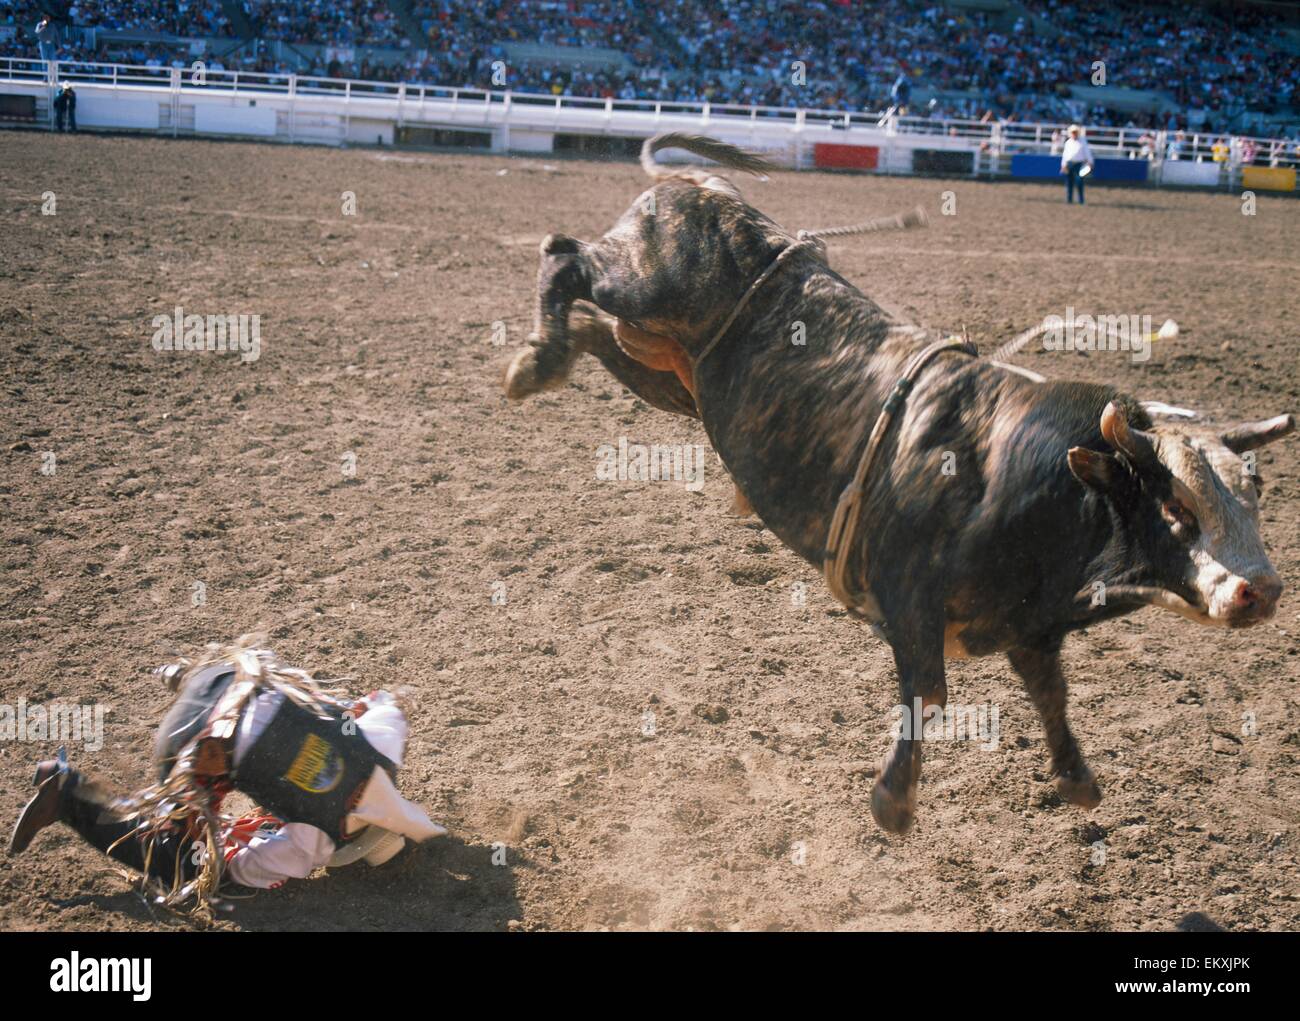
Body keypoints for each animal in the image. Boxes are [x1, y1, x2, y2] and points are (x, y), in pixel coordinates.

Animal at [503, 133, 1295, 833]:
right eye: (1176, 507)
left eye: (1254, 501)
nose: (1260, 591)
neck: (1024, 473)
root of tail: (705, 188)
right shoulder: (908, 593)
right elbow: (930, 691)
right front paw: (894, 800)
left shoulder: (1028, 624)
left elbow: (1050, 691)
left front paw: (1077, 779)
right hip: (641, 284)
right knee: (564, 256)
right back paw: (532, 359)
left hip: (668, 368)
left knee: (594, 327)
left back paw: (546, 359)